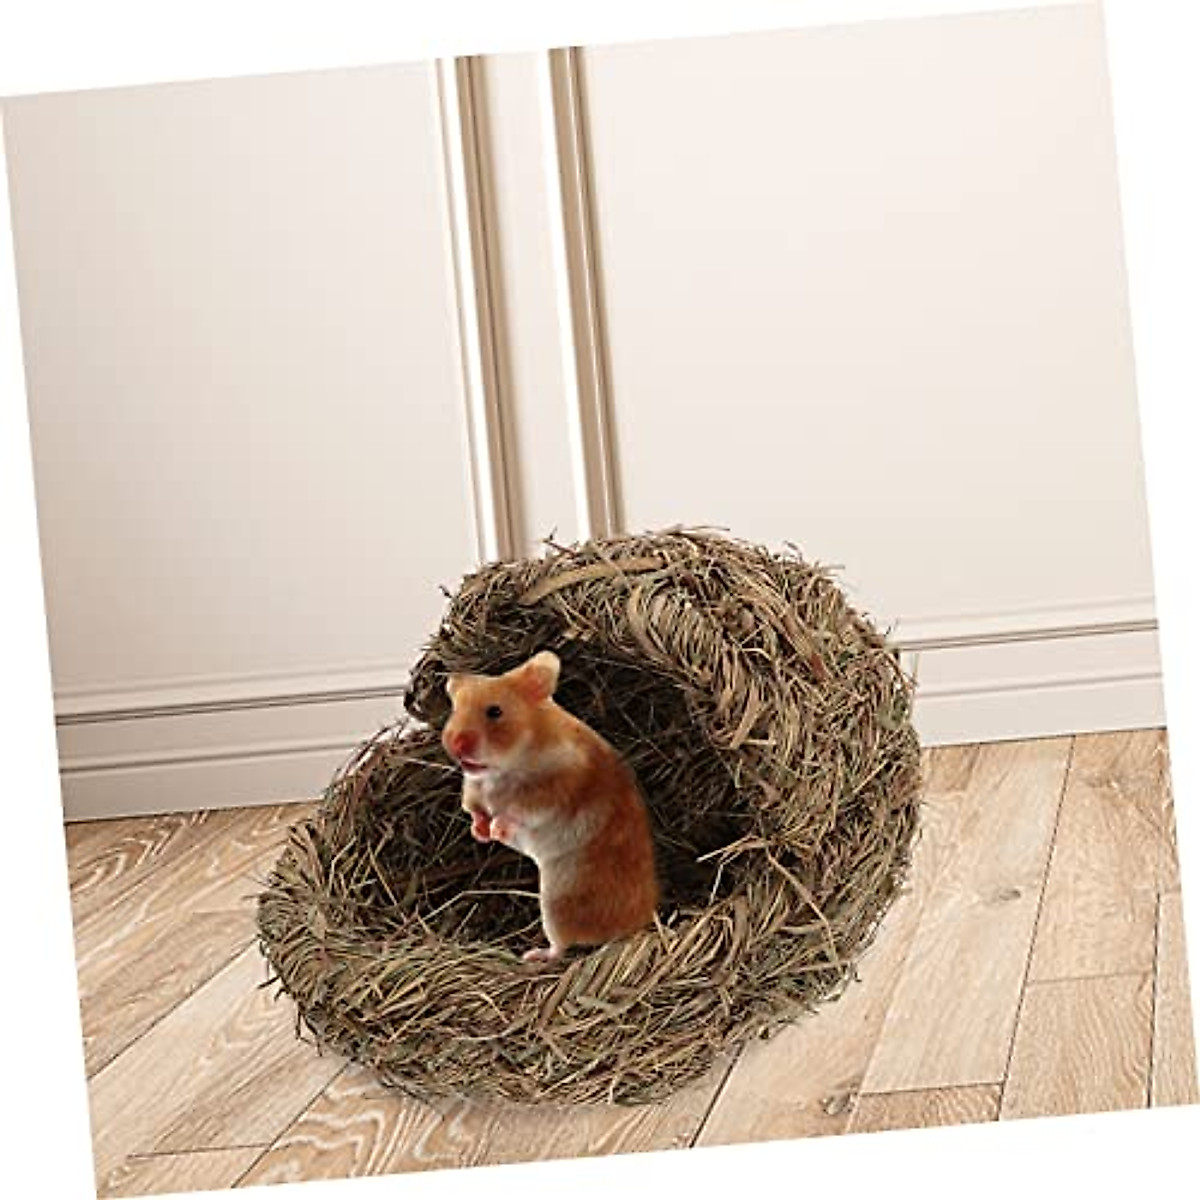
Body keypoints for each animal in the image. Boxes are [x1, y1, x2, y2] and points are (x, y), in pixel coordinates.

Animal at [440, 650, 659, 963]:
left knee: (561, 946)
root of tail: (638, 923)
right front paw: (481, 833)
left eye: (495, 711)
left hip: (556, 903)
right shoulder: (473, 792)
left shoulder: (551, 791)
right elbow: (475, 812)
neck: (503, 768)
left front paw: (496, 830)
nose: (455, 744)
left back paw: (532, 956)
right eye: (454, 711)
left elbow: (518, 811)